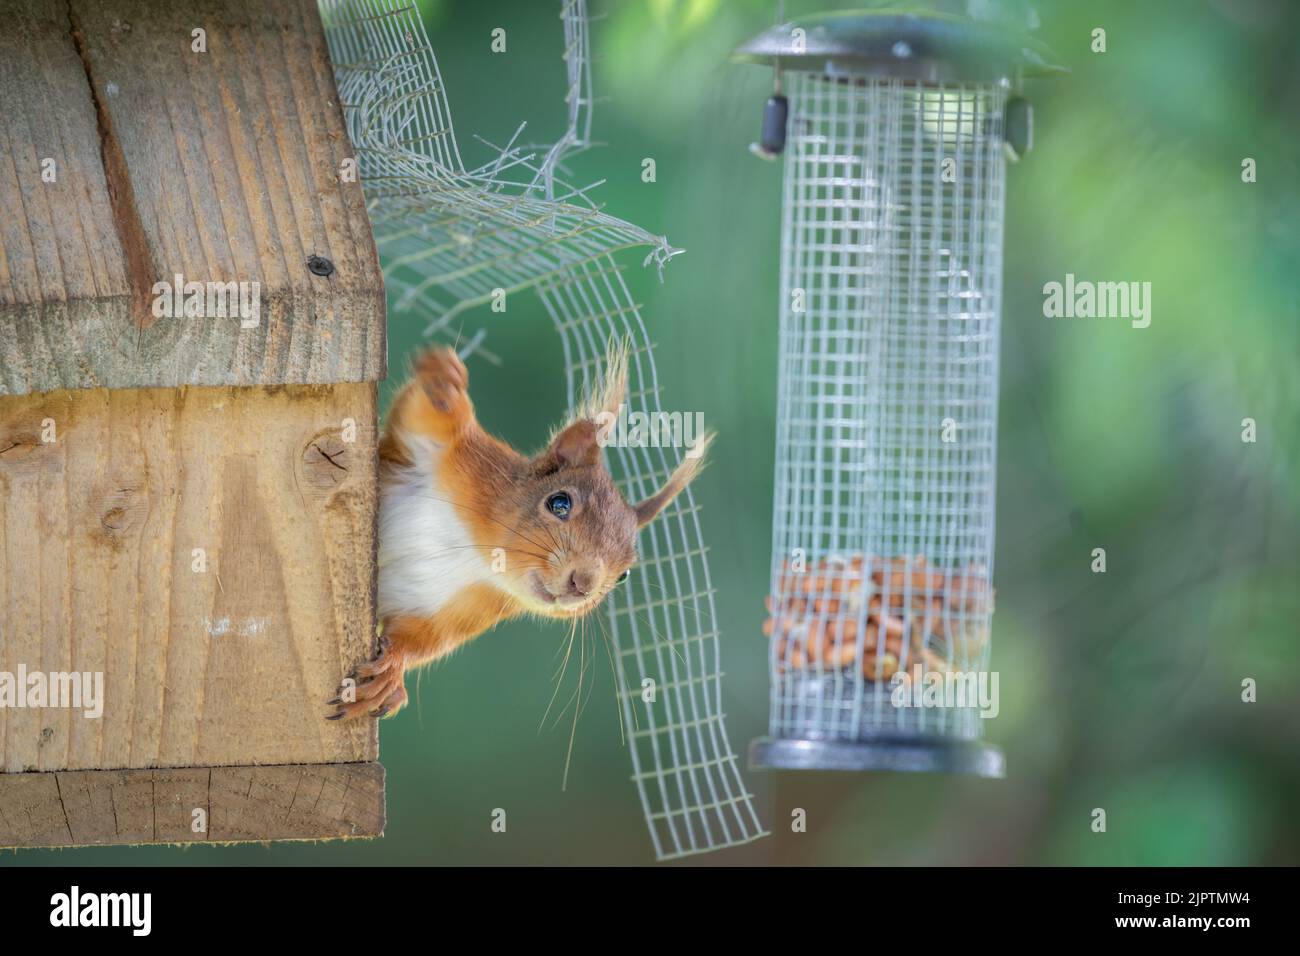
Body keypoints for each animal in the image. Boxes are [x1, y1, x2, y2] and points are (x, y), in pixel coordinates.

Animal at [329, 342, 711, 720]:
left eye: (624, 575)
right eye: (559, 503)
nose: (582, 584)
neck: (477, 550)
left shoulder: (461, 610)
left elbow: (422, 639)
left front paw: (392, 673)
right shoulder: (453, 454)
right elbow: (427, 416)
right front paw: (445, 380)